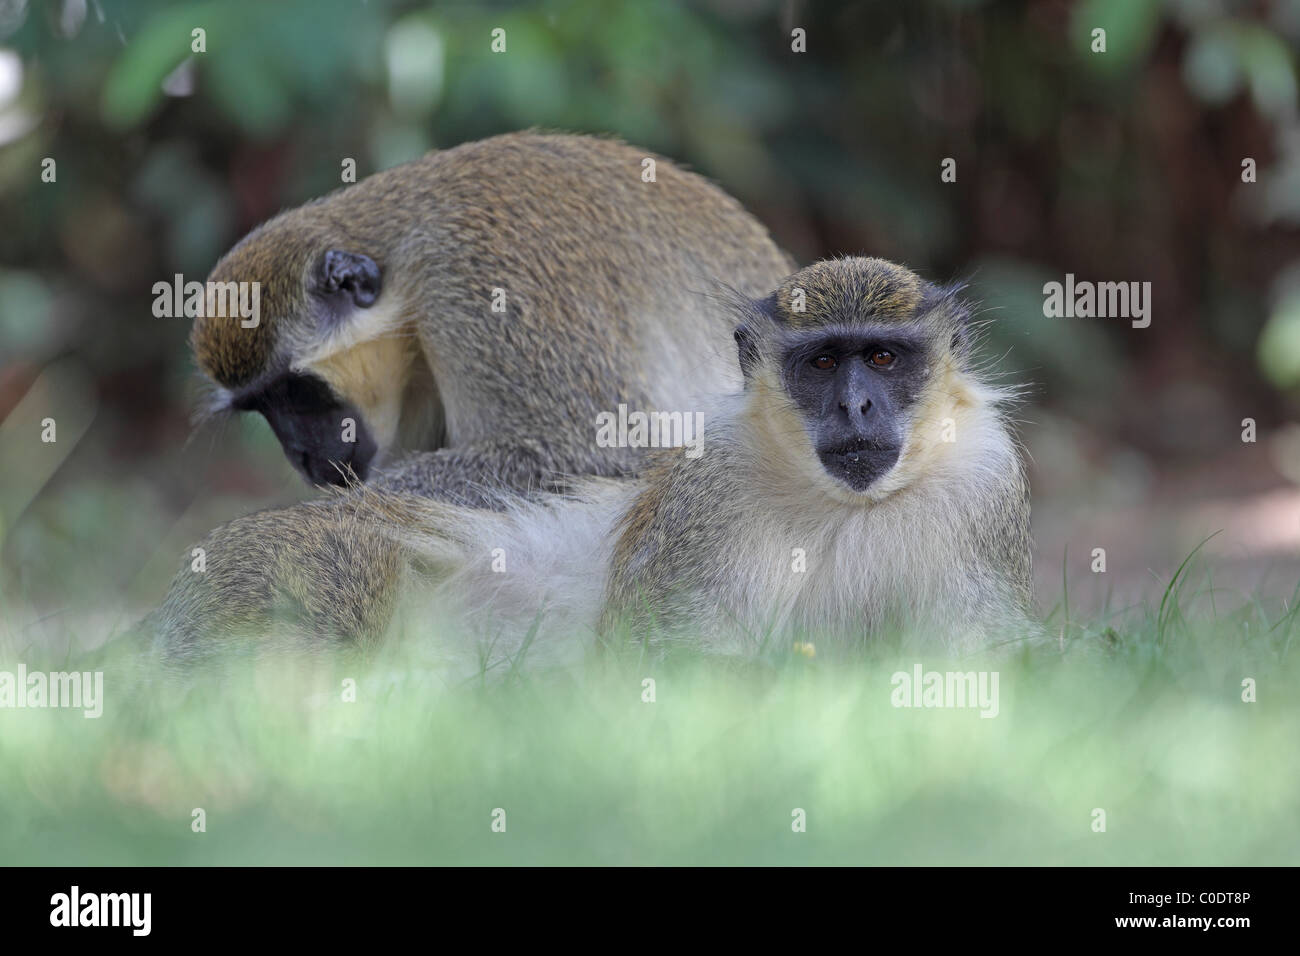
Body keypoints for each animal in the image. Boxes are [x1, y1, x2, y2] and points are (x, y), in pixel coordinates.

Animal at [152, 257, 1033, 666]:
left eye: (883, 358)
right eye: (822, 364)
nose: (856, 407)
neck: (837, 503)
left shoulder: (986, 486)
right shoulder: (706, 494)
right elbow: (665, 656)